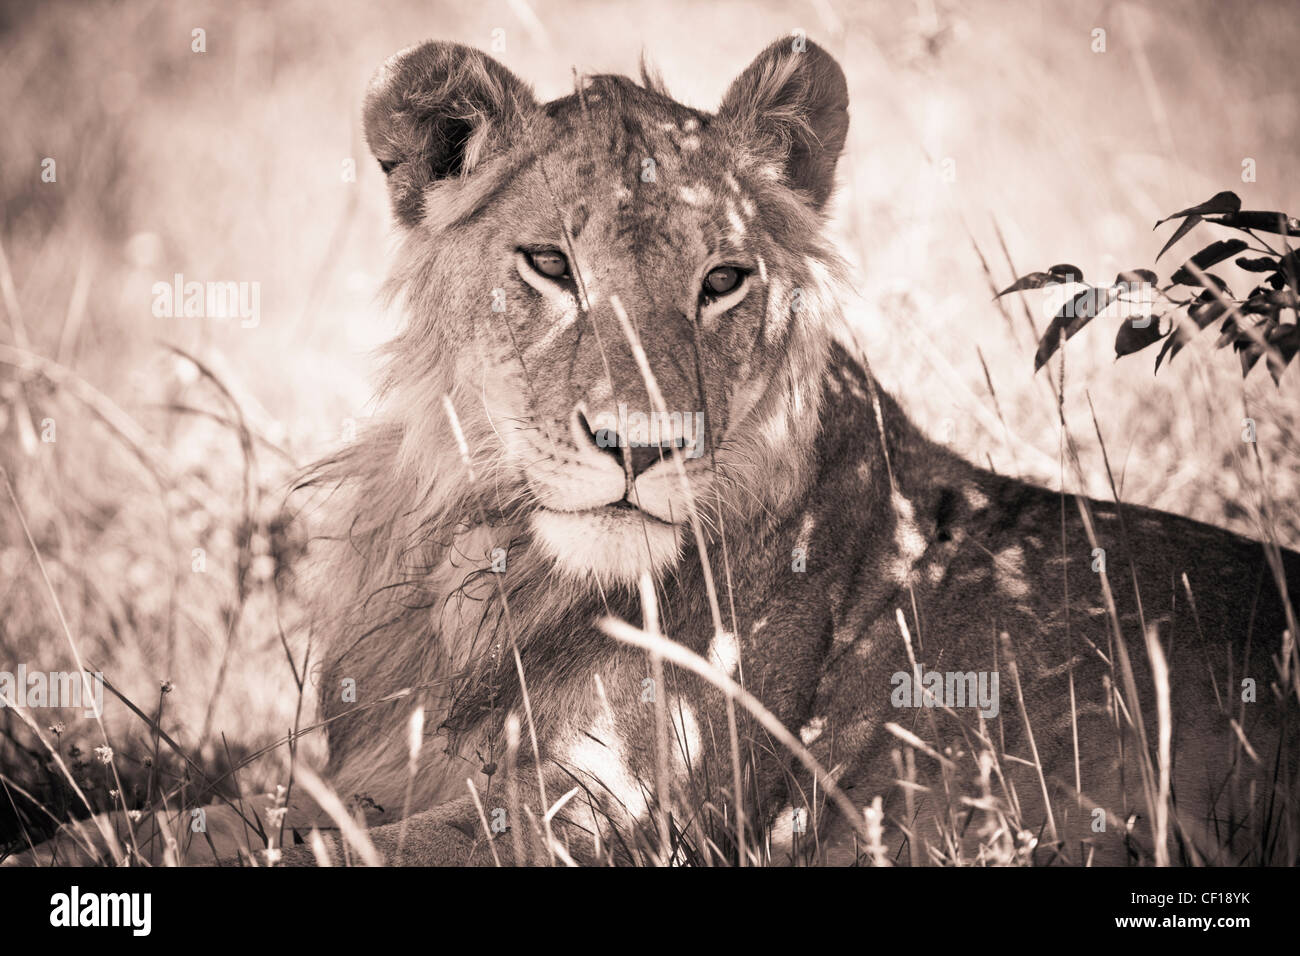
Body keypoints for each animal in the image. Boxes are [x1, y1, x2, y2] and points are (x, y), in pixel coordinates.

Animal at [10, 36, 1298, 867]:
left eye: (722, 280)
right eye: (548, 264)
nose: (641, 445)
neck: (487, 568)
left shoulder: (603, 817)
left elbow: (279, 841)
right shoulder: (382, 761)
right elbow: (228, 811)